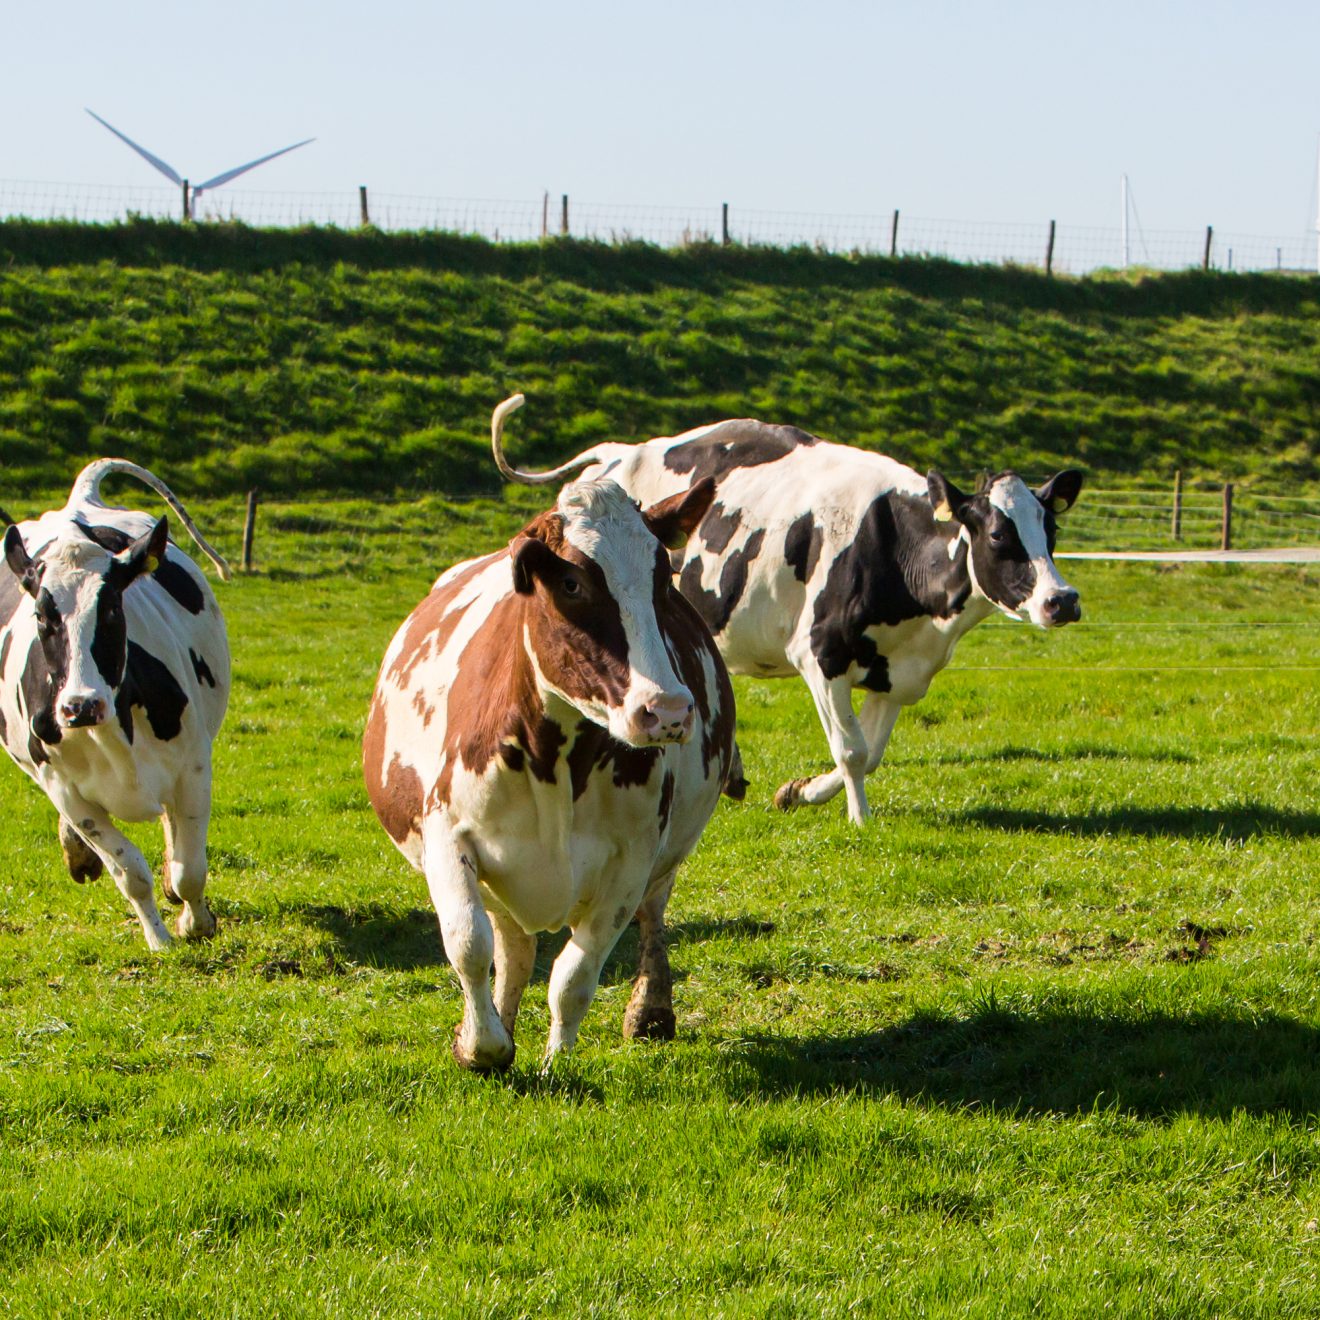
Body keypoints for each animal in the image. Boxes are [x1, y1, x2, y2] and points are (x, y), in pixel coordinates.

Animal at [0, 460, 231, 949]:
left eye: (110, 610)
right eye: (42, 616)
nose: (79, 706)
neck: (109, 735)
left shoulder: (193, 768)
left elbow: (189, 869)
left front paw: (195, 923)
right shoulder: (65, 790)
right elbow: (129, 871)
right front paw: (158, 940)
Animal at [364, 398, 734, 1072]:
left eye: (663, 578)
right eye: (571, 583)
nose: (666, 709)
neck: (556, 760)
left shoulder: (631, 860)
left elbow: (574, 975)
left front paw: (555, 1062)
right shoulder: (445, 835)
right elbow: (469, 944)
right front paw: (480, 1044)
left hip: (667, 856)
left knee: (651, 916)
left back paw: (650, 1011)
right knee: (509, 945)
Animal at [492, 405, 1083, 826]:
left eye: (1050, 529)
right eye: (999, 534)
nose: (1063, 600)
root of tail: (623, 452)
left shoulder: (899, 672)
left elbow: (870, 752)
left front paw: (801, 792)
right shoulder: (820, 653)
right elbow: (851, 749)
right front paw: (860, 819)